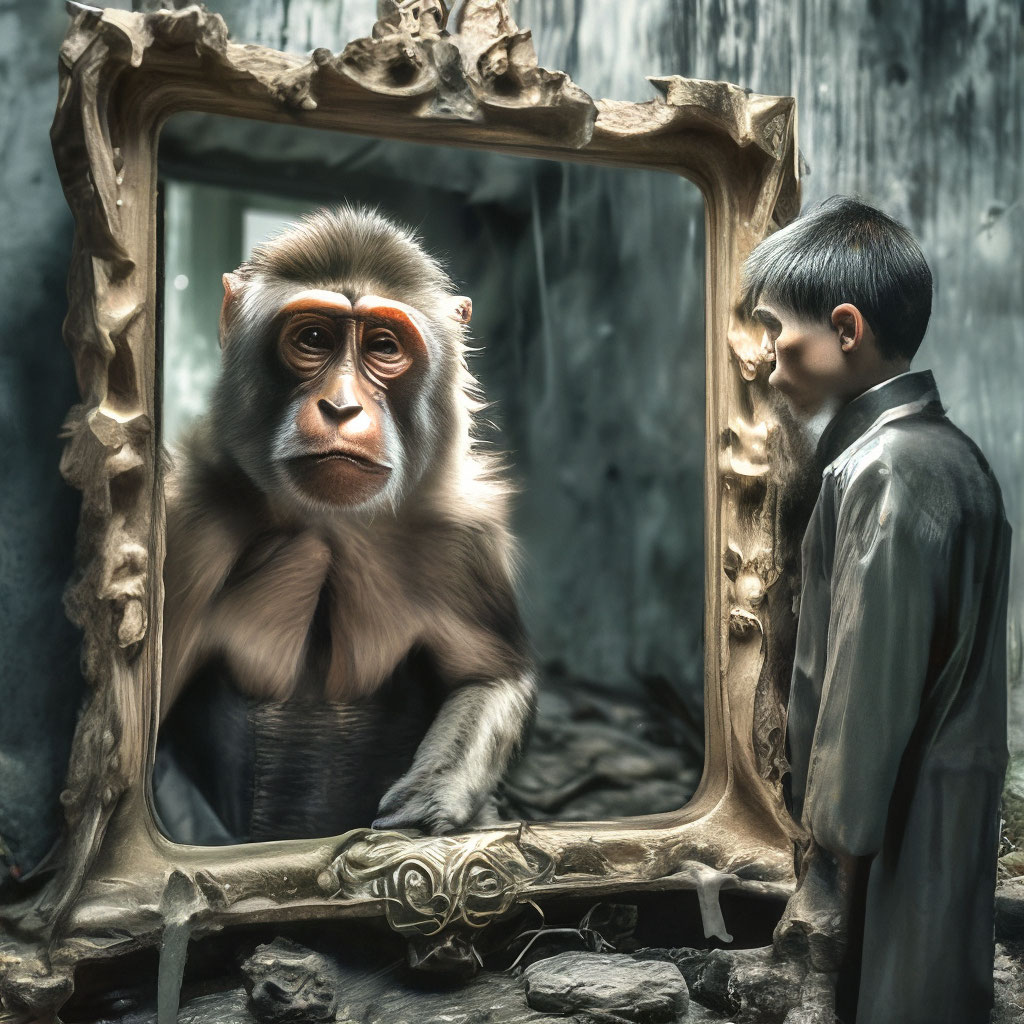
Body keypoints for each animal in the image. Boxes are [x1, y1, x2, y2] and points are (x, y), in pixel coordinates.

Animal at [156, 206, 535, 842]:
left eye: (383, 345)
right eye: (313, 340)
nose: (341, 406)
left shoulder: (463, 535)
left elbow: (489, 678)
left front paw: (436, 794)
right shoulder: (186, 521)